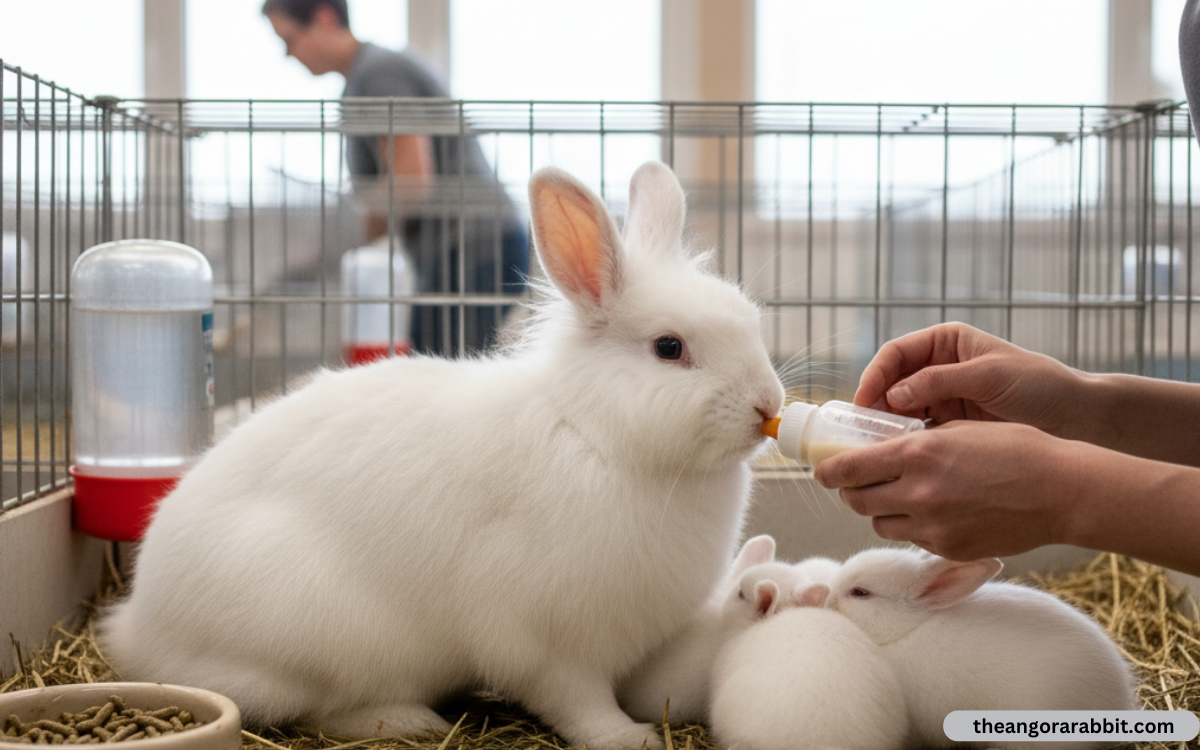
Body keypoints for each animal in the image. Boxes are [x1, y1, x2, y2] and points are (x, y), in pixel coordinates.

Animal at [96, 161, 785, 750]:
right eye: (669, 348)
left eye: (751, 322)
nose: (768, 404)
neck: (594, 432)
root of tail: (140, 630)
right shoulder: (547, 641)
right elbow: (577, 701)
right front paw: (628, 736)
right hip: (328, 636)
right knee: (327, 708)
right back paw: (412, 720)